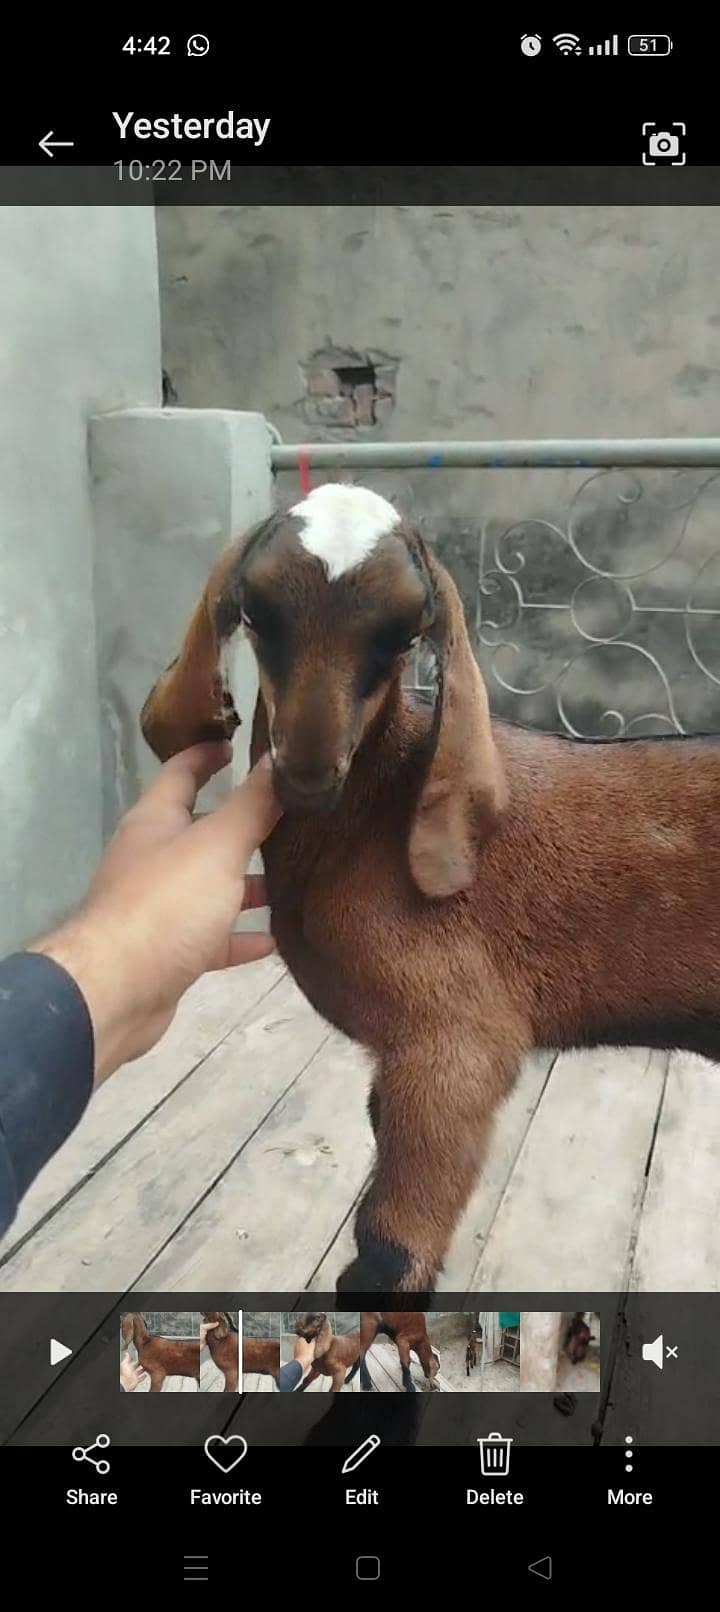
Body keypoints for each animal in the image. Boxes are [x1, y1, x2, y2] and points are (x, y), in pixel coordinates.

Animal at [140, 481, 720, 1294]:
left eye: (409, 632)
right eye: (252, 611)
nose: (308, 776)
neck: (373, 817)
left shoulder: (453, 1045)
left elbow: (389, 1248)